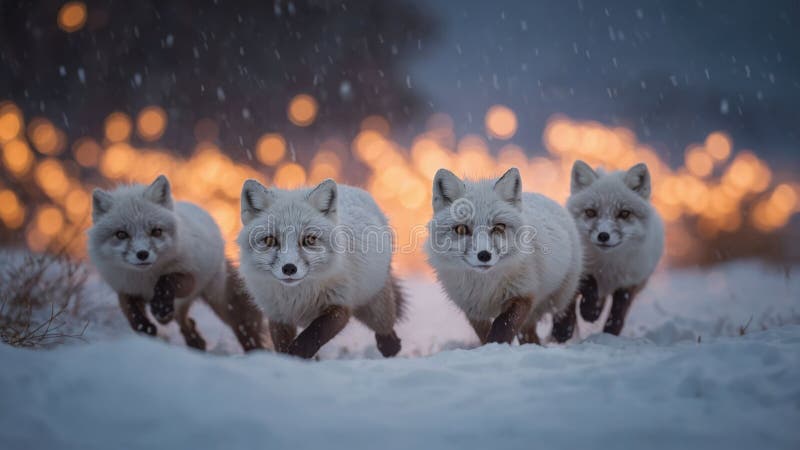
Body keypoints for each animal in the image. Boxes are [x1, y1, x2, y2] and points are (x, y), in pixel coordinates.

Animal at [88, 175, 265, 352]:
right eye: (121, 234)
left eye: (156, 231)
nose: (142, 254)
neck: (145, 281)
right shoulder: (124, 288)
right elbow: (132, 312)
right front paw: (144, 327)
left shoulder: (191, 277)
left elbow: (165, 281)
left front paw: (160, 306)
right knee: (186, 324)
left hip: (219, 301)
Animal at [237, 178, 405, 359]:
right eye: (269, 240)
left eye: (309, 239)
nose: (289, 268)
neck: (297, 296)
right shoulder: (278, 315)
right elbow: (283, 346)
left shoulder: (339, 304)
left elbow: (311, 336)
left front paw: (297, 355)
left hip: (374, 308)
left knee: (388, 333)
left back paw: (390, 347)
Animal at [426, 168, 584, 345]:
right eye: (461, 229)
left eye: (499, 227)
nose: (484, 255)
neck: (484, 286)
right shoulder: (472, 307)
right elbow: (485, 334)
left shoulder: (522, 293)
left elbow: (501, 328)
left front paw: (494, 346)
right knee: (530, 336)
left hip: (561, 296)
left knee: (567, 304)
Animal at [567, 161, 665, 335]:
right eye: (590, 212)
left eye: (624, 213)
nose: (603, 236)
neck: (606, 269)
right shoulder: (581, 271)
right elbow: (588, 286)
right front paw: (587, 312)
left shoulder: (630, 283)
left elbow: (618, 314)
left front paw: (609, 333)